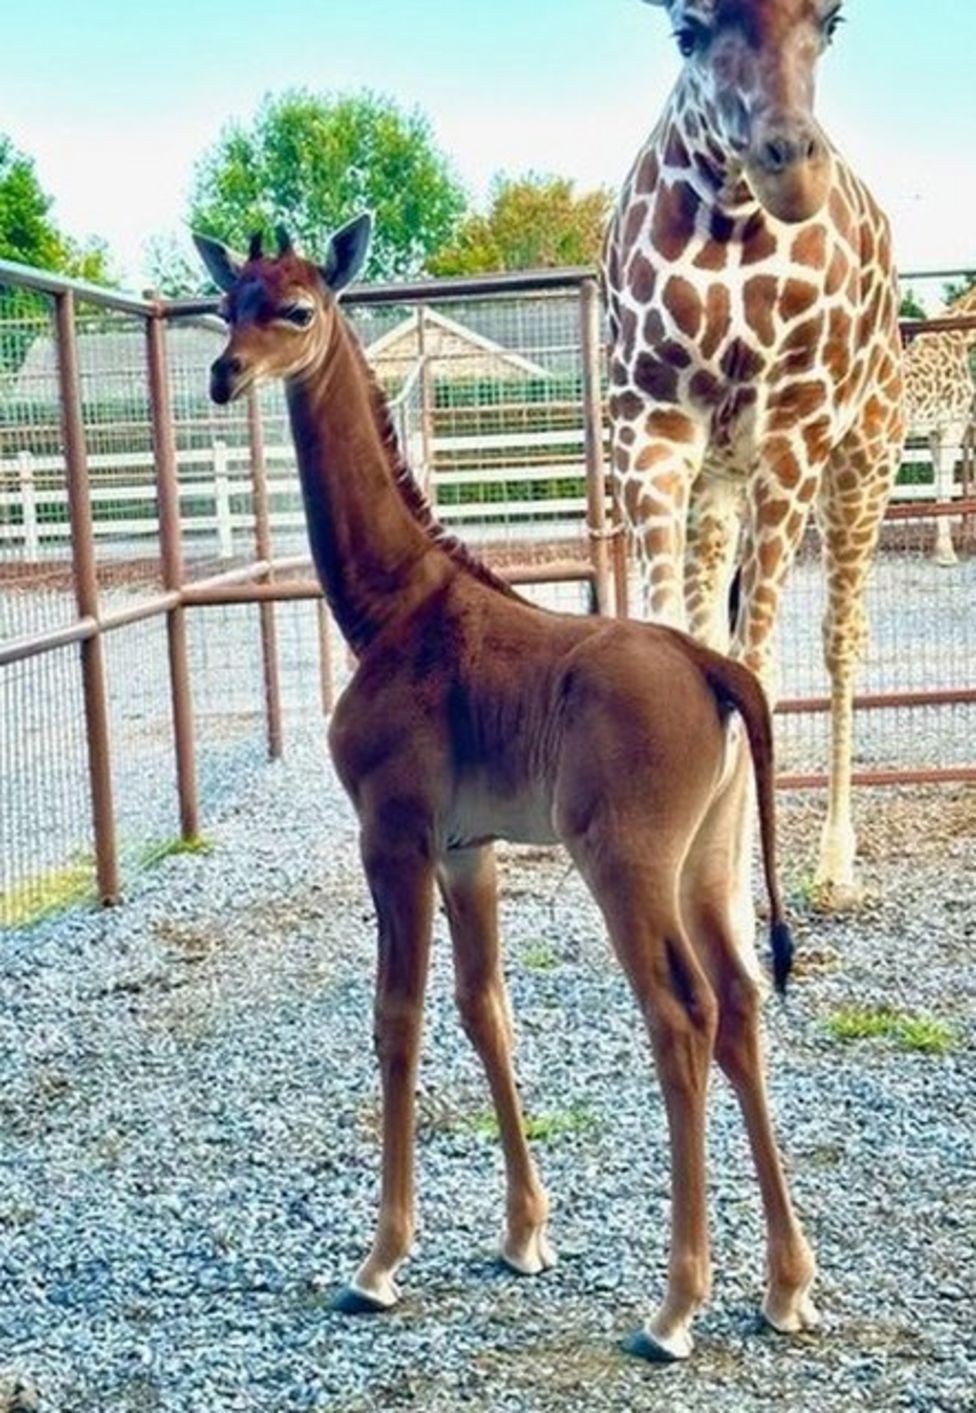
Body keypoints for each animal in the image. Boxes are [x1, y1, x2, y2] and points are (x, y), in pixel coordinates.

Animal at [194, 217, 817, 1364]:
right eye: (230, 303)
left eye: (297, 308)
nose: (225, 374)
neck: (389, 607)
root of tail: (716, 668)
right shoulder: (465, 848)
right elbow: (485, 1008)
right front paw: (525, 1234)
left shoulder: (392, 834)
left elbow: (396, 1016)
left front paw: (380, 1262)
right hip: (709, 863)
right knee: (744, 1004)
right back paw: (786, 1286)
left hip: (627, 864)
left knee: (683, 1015)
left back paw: (673, 1310)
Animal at [603, 0, 904, 904]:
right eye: (686, 31)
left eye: (832, 22)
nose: (790, 169)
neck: (732, 221)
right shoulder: (650, 426)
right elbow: (680, 649)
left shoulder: (793, 433)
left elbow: (758, 666)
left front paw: (733, 900)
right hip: (720, 481)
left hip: (864, 457)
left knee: (842, 636)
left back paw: (835, 862)